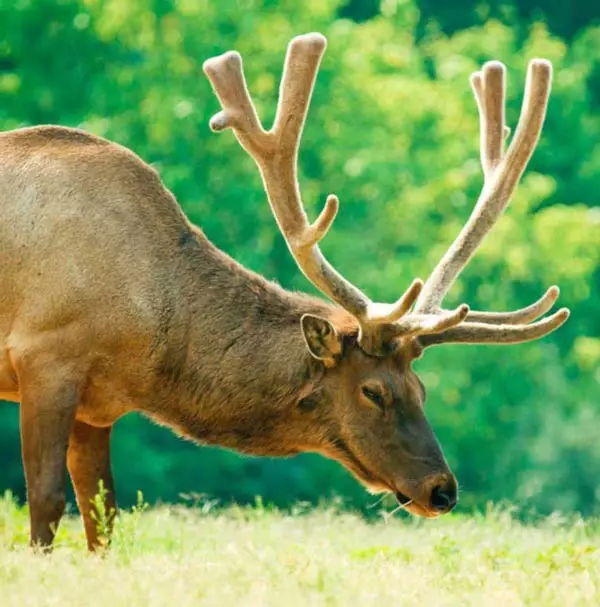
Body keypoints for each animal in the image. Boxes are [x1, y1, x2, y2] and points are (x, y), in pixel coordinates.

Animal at [0, 32, 568, 552]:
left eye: (421, 390)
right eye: (373, 391)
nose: (442, 490)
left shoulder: (99, 405)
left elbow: (103, 517)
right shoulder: (45, 354)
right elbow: (47, 500)